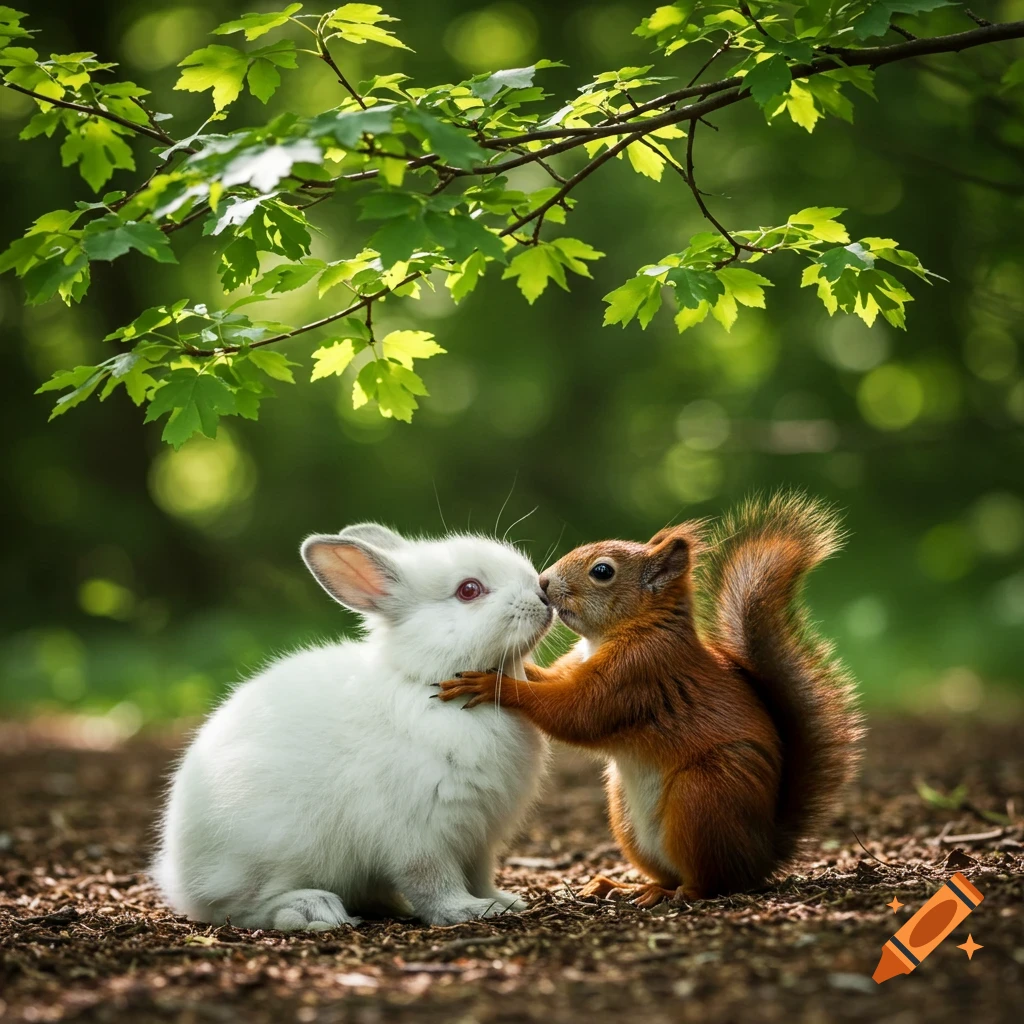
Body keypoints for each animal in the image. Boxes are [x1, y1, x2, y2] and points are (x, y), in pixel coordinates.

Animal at [152, 523, 553, 930]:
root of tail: (179, 879)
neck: (426, 684)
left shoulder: (480, 839)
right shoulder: (419, 834)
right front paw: (468, 910)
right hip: (274, 849)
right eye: (468, 590)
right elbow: (433, 882)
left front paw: (504, 901)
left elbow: (479, 875)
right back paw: (312, 908)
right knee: (241, 908)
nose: (543, 594)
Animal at [438, 492, 863, 906]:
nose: (543, 582)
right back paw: (620, 887)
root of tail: (761, 854)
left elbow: (577, 712)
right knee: (670, 871)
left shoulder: (638, 672)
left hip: (704, 796)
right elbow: (551, 682)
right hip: (625, 812)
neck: (632, 629)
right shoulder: (576, 665)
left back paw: (672, 894)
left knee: (713, 882)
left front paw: (492, 684)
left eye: (602, 571)